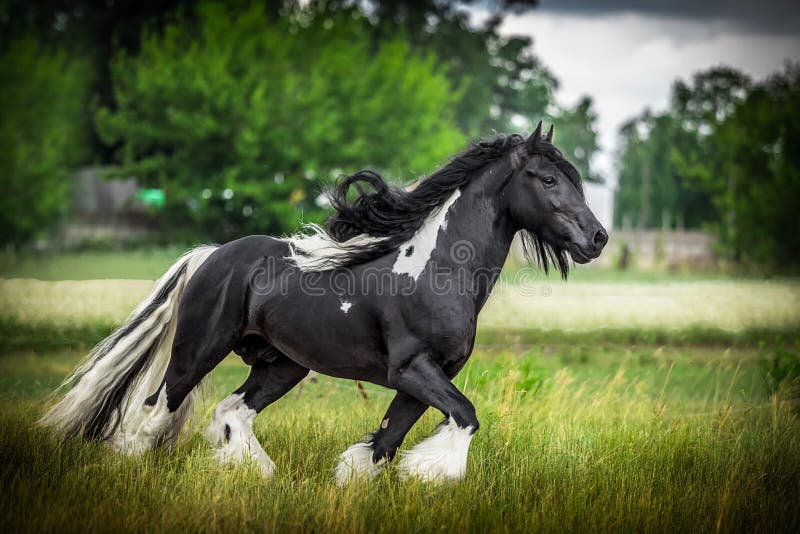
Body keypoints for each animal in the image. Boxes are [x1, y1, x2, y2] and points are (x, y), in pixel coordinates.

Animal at [39, 122, 608, 484]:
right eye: (549, 179)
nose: (598, 238)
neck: (438, 269)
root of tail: (210, 255)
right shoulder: (412, 369)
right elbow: (464, 416)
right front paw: (434, 474)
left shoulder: (428, 376)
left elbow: (384, 445)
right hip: (197, 352)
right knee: (153, 415)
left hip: (282, 364)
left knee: (232, 411)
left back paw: (256, 475)